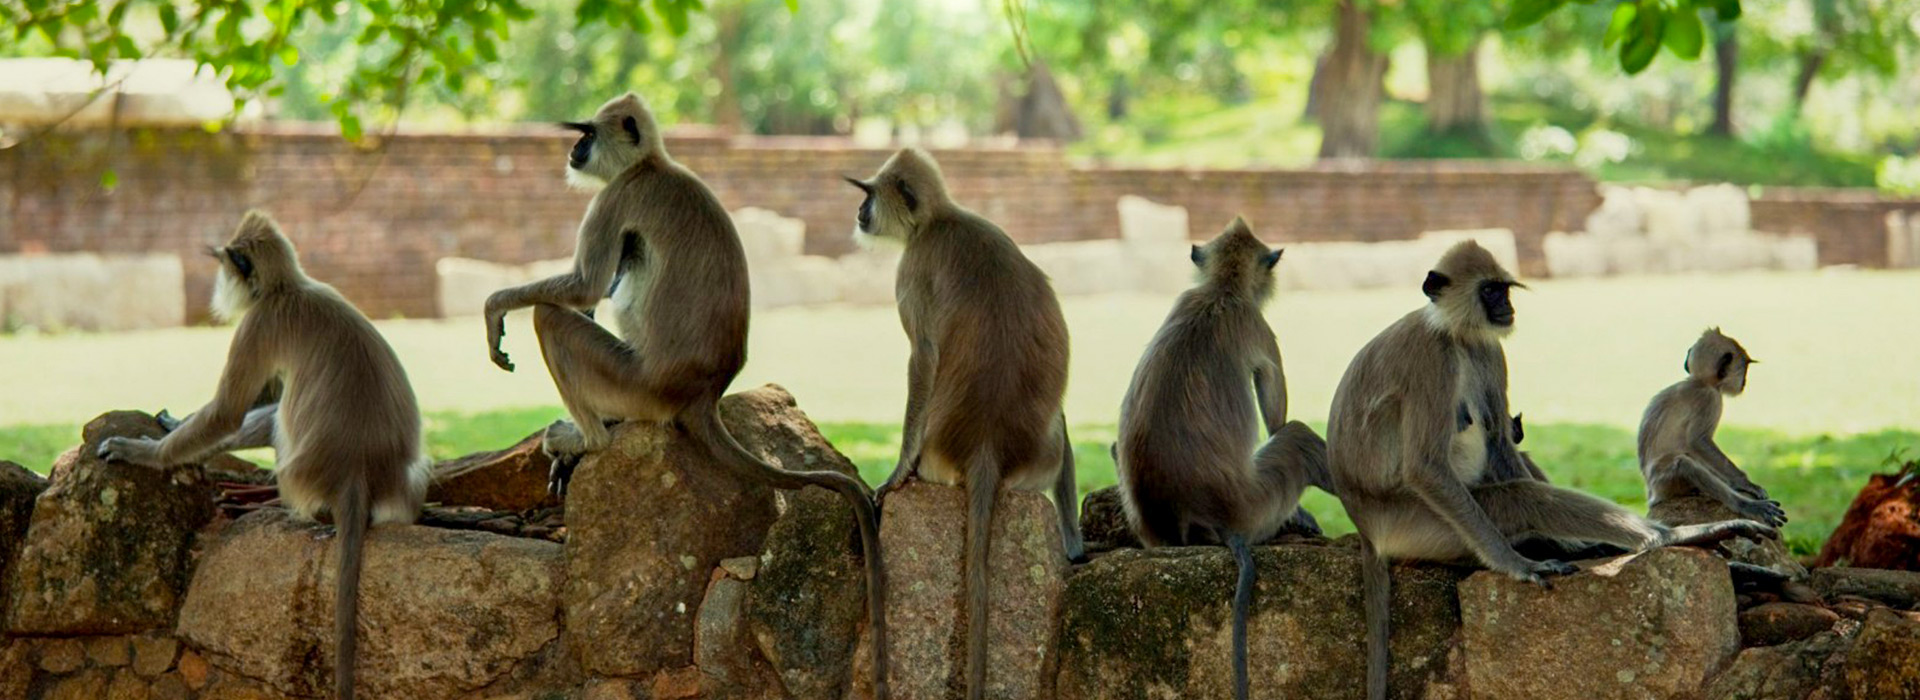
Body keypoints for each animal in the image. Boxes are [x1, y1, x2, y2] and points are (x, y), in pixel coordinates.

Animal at [97, 211, 429, 700]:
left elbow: (228, 412)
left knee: (277, 416)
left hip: (301, 477)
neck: (290, 288)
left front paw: (147, 451)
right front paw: (173, 425)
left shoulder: (259, 323)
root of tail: (357, 472)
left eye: (226, 264)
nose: (218, 282)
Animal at [479, 92, 890, 699]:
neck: (653, 165)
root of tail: (701, 393)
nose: (574, 150)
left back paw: (591, 441)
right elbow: (592, 293)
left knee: (552, 317)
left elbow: (582, 287)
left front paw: (494, 308)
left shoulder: (617, 195)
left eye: (586, 134)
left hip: (634, 381)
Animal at [847, 147, 1083, 700]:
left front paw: (894, 474)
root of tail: (986, 446)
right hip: (1039, 457)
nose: (860, 213)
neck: (940, 220)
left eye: (869, 194)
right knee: (1059, 423)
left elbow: (924, 358)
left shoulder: (913, 267)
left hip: (937, 456)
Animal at [1113, 217, 1332, 700]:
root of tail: (1197, 515)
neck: (1220, 292)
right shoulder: (1256, 323)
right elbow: (1276, 415)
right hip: (1255, 505)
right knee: (1297, 437)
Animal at [1637, 329, 1784, 527]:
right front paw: (1745, 484)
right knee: (1685, 465)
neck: (1700, 381)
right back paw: (1746, 505)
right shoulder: (1709, 399)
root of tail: (1652, 494)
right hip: (1665, 481)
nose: (1745, 381)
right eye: (1745, 367)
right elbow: (1698, 441)